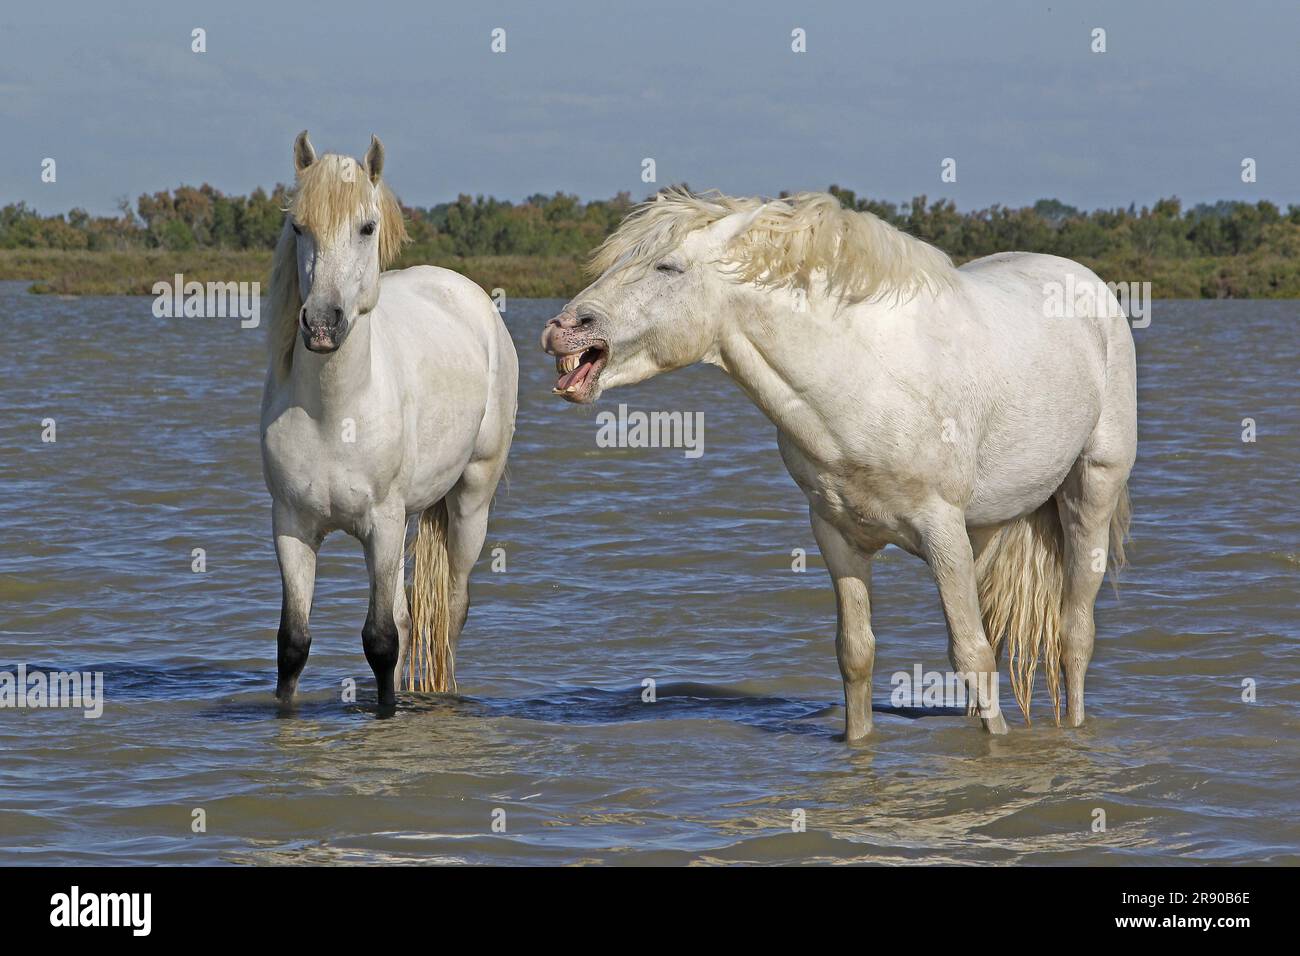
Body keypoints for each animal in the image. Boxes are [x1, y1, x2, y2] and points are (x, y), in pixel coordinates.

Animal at [261, 131, 517, 708]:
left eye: (367, 227)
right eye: (298, 227)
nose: (322, 324)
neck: (333, 416)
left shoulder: (381, 525)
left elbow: (380, 640)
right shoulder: (291, 527)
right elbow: (293, 644)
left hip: (471, 501)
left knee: (450, 611)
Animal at [541, 189, 1135, 737]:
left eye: (668, 267)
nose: (561, 329)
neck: (862, 378)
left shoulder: (942, 529)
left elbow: (972, 654)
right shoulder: (836, 533)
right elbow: (856, 654)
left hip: (1091, 493)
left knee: (1074, 632)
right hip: (987, 528)